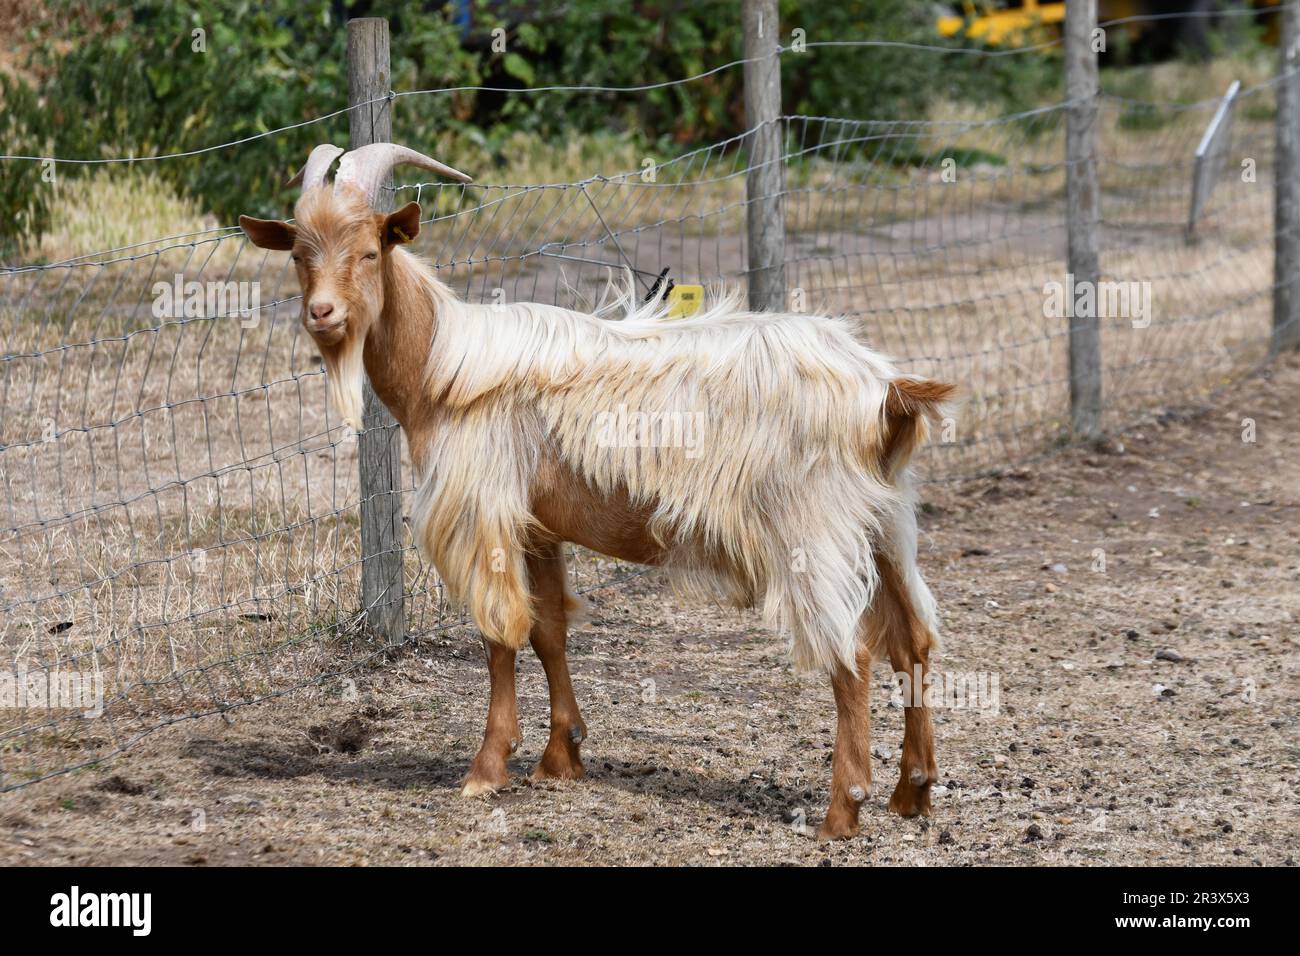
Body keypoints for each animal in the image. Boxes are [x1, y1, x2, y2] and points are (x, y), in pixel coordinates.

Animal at [240, 143, 955, 840]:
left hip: (813, 528)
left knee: (852, 653)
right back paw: (913, 791)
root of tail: (882, 388)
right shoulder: (537, 524)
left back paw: (842, 811)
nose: (322, 314)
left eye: (369, 250)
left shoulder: (483, 512)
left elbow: (500, 634)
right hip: (885, 522)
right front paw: (561, 756)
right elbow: (549, 630)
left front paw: (487, 768)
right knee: (913, 639)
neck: (442, 363)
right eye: (299, 254)